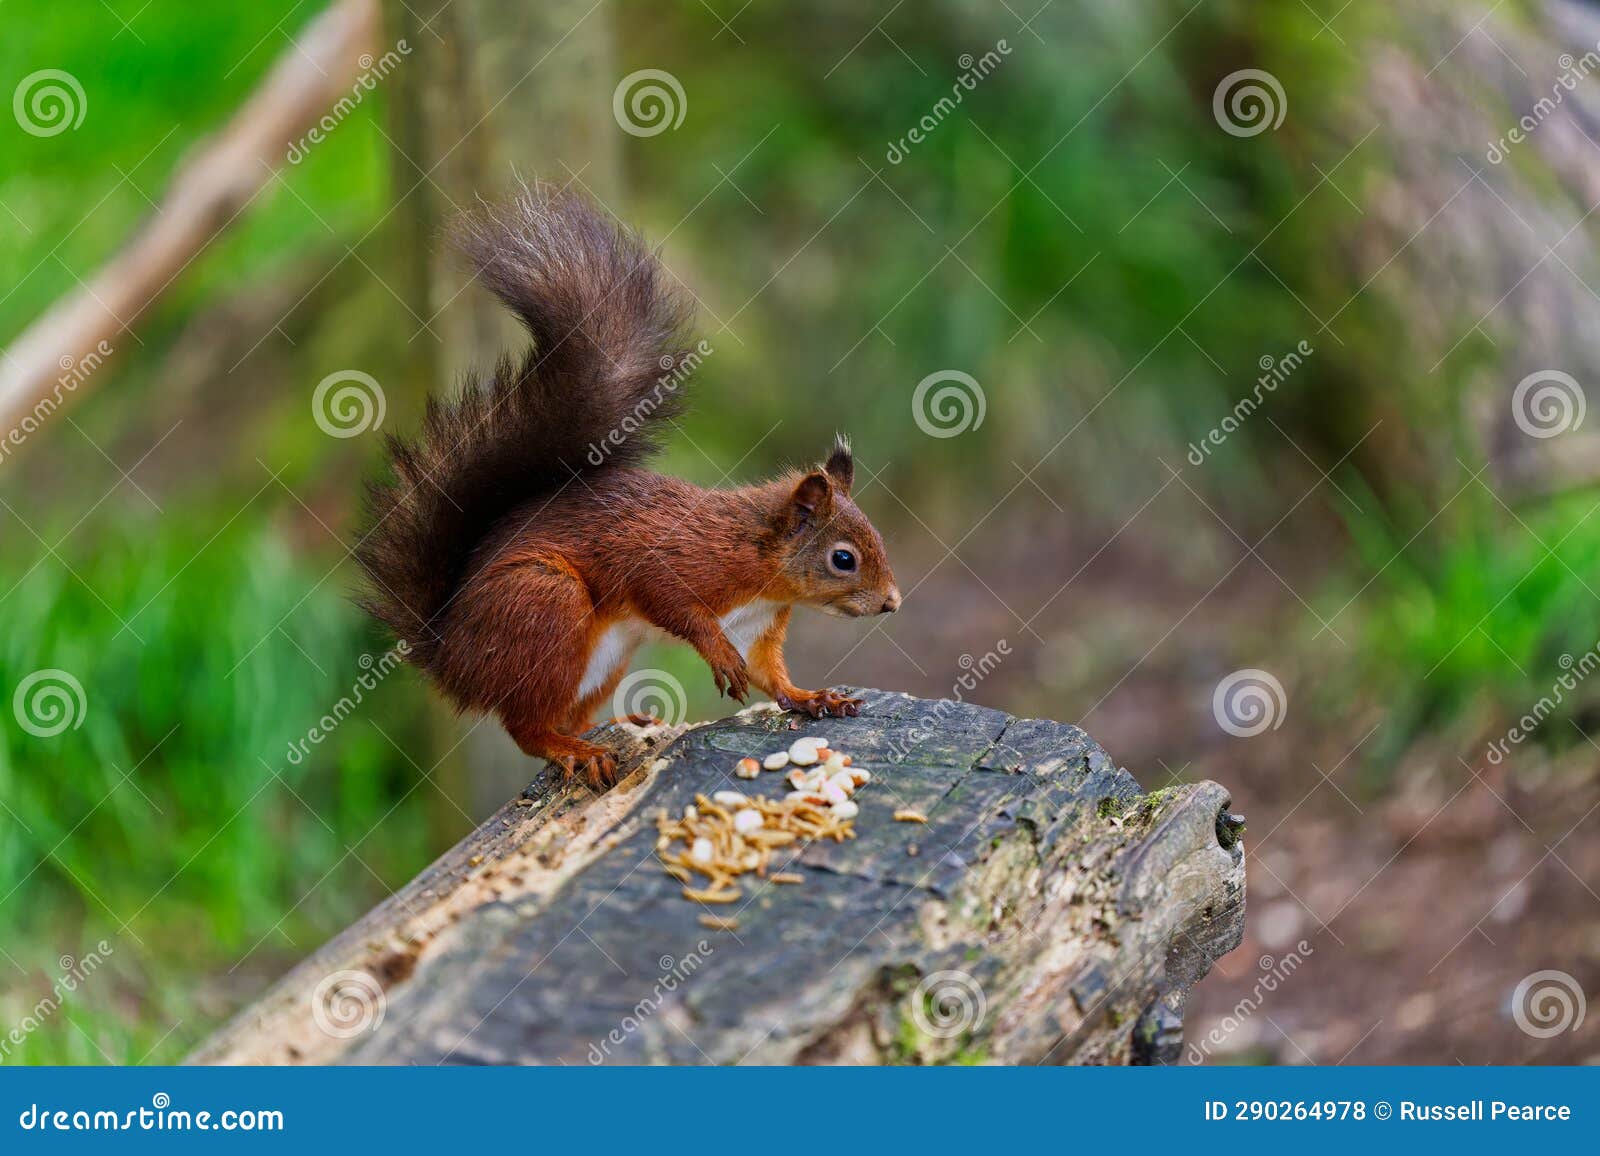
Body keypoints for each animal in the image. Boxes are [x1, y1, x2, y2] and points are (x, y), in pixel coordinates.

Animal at [355, 188, 900, 789]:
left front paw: (814, 697)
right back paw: (575, 750)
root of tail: (449, 655)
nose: (892, 602)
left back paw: (615, 726)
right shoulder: (672, 558)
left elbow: (771, 675)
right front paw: (720, 656)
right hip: (543, 604)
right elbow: (671, 601)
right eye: (843, 559)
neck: (759, 563)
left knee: (557, 716)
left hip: (604, 659)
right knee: (526, 728)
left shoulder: (758, 625)